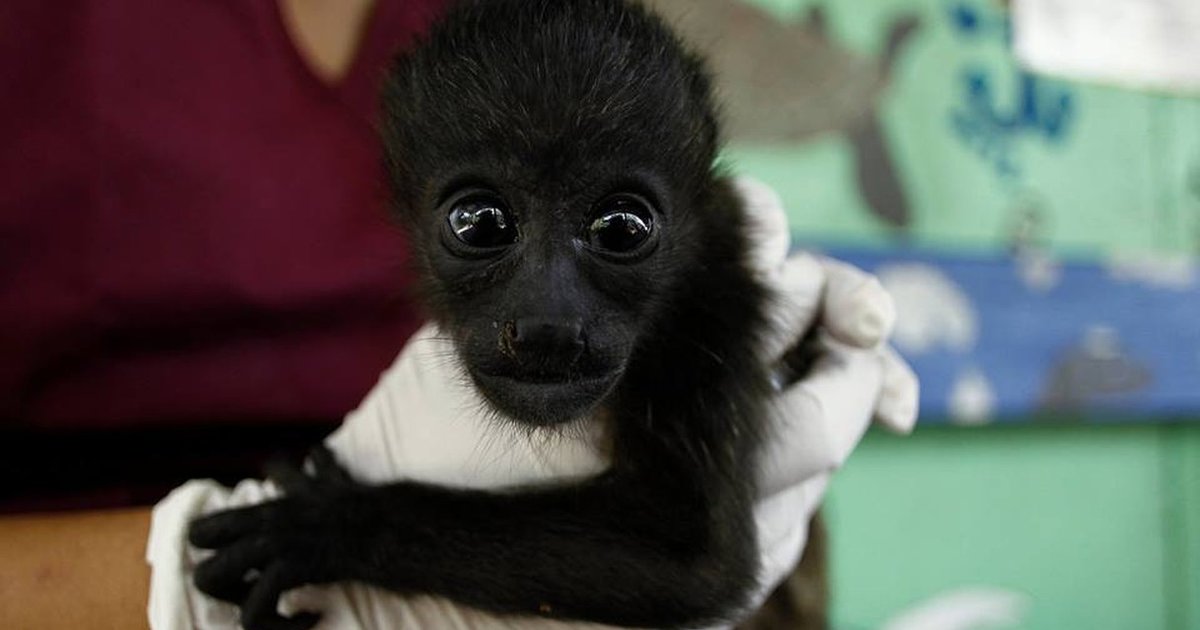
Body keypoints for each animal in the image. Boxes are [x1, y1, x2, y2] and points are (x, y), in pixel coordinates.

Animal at [187, 1, 794, 628]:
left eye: (624, 228)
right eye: (480, 223)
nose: (549, 326)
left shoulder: (716, 296)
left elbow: (692, 551)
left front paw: (331, 522)